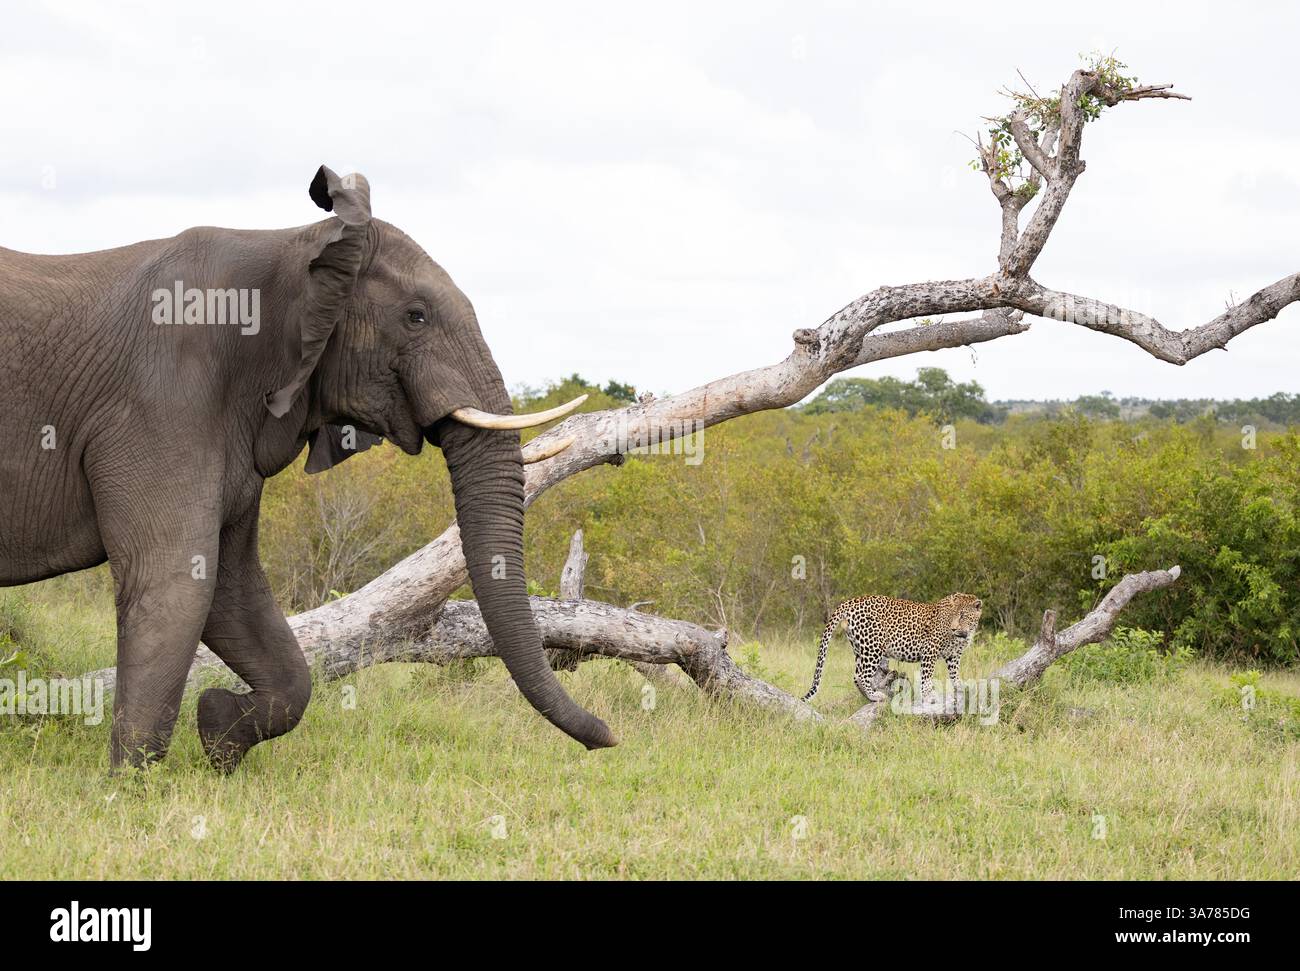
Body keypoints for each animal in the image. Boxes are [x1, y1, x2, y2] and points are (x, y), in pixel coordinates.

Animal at [0, 165, 616, 770]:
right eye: (415, 317)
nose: (608, 738)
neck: (296, 247)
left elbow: (235, 593)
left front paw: (219, 733)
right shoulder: (160, 403)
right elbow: (176, 582)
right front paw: (131, 783)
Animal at [801, 593, 983, 704]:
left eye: (963, 616)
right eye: (952, 616)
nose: (953, 628)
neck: (963, 634)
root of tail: (852, 601)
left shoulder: (954, 655)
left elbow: (954, 673)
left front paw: (960, 686)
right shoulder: (930, 651)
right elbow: (927, 677)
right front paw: (928, 696)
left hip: (859, 647)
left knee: (856, 676)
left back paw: (870, 697)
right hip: (873, 647)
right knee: (862, 676)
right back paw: (875, 696)